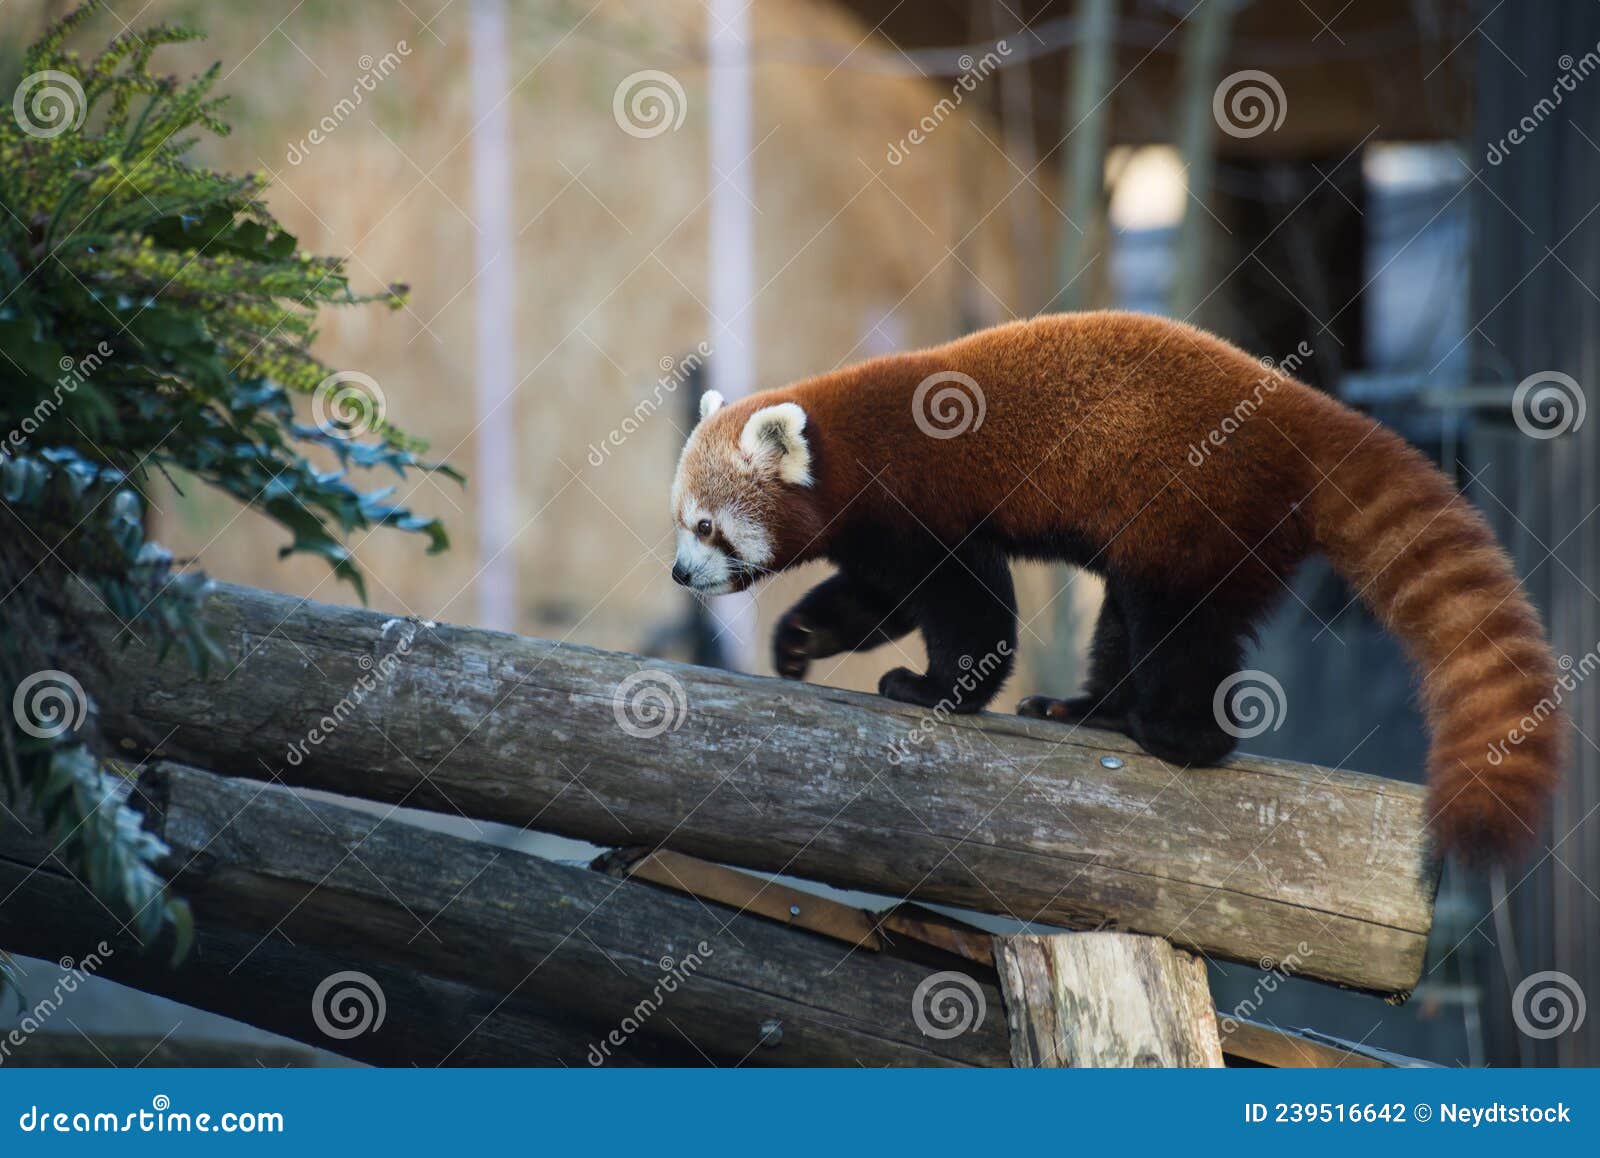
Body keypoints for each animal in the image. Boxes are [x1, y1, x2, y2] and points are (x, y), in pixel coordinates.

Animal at [668, 310, 1562, 862]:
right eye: (678, 522)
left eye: (707, 527)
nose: (680, 572)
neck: (851, 445)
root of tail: (1304, 417)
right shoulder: (880, 535)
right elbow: (876, 599)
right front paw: (801, 641)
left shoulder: (929, 505)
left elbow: (972, 611)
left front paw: (934, 689)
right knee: (1127, 624)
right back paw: (1089, 710)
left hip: (1195, 512)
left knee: (1181, 627)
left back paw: (1174, 734)